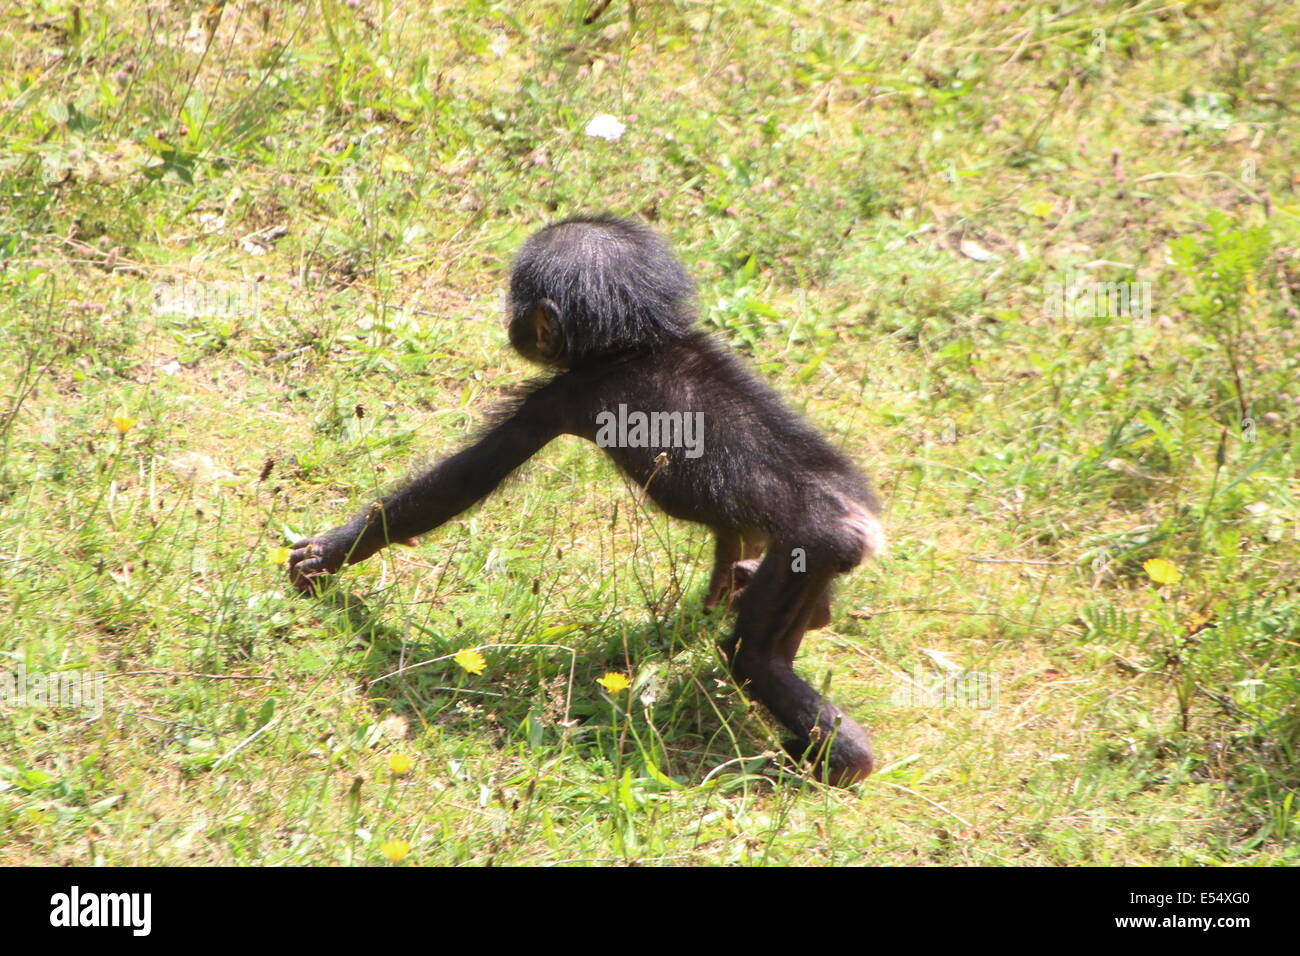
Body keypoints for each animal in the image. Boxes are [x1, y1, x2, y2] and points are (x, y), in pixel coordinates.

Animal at [288, 215, 885, 785]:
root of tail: (862, 526)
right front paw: (724, 574)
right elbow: (733, 535)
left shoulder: (563, 396)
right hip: (819, 559)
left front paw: (331, 552)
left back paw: (839, 758)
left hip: (810, 548)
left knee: (754, 657)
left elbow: (466, 477)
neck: (638, 344)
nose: (511, 325)